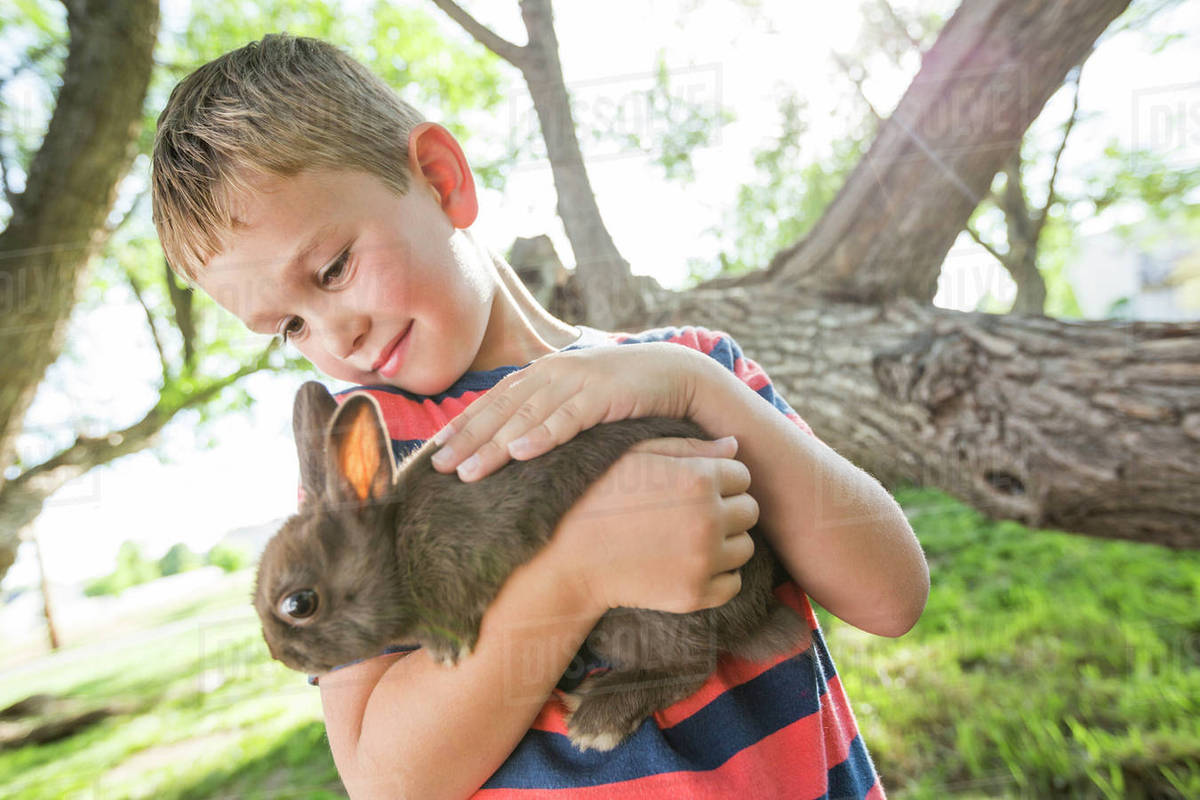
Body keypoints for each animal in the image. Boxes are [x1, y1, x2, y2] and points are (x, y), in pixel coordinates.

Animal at [254, 380, 811, 752]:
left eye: (299, 604)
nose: (281, 656)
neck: (397, 547)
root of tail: (755, 616)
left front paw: (449, 650)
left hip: (656, 614)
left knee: (693, 667)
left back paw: (595, 720)